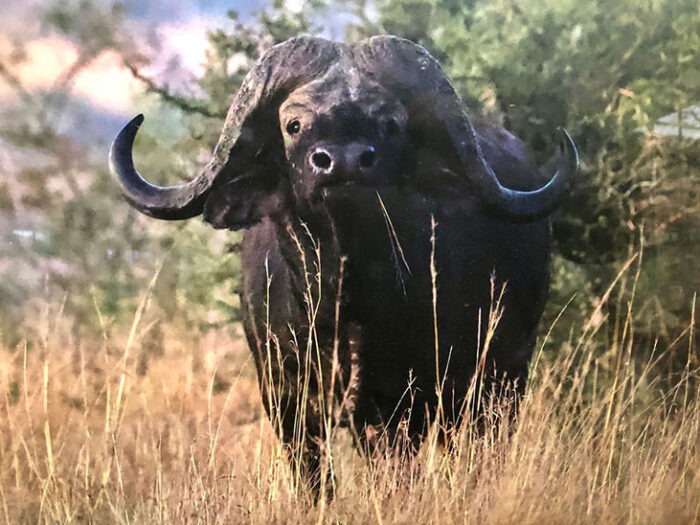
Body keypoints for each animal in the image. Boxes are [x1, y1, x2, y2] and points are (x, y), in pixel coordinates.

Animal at [109, 36, 578, 496]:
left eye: (389, 123)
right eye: (293, 125)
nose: (343, 161)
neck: (340, 298)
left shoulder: (400, 404)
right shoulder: (286, 400)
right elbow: (314, 480)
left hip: (502, 379)